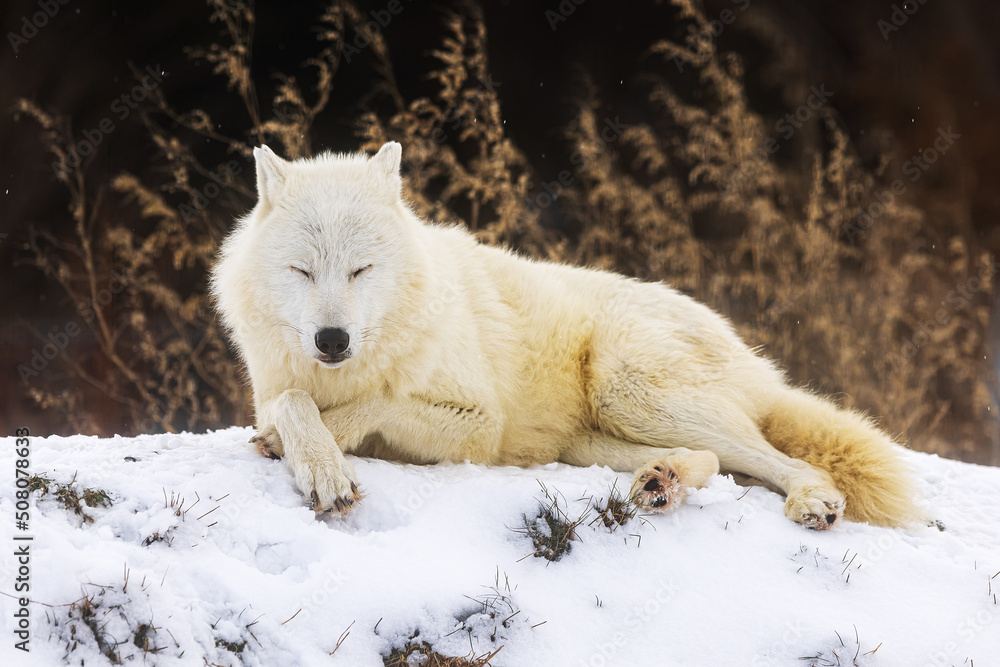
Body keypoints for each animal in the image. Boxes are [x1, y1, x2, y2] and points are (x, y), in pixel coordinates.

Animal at [210, 142, 923, 529]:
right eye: (302, 271)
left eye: (361, 270)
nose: (332, 340)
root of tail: (753, 356)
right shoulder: (278, 386)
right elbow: (293, 402)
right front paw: (311, 454)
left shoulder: (478, 423)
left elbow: (369, 403)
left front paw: (316, 456)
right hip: (594, 438)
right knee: (716, 462)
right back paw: (662, 483)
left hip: (629, 389)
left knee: (781, 459)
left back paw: (811, 501)